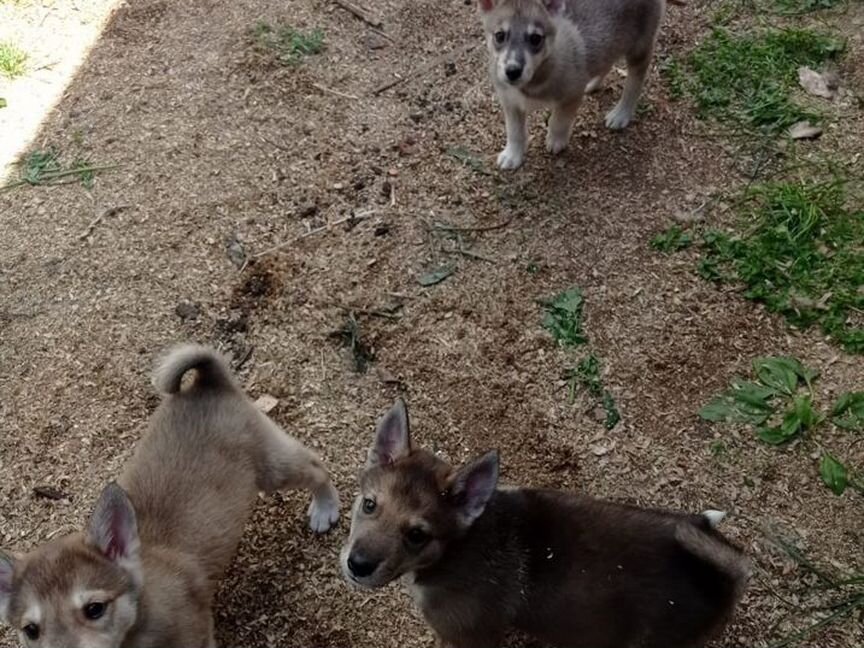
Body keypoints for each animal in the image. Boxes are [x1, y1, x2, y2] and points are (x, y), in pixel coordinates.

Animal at [0, 346, 340, 648]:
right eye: (31, 630)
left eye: (94, 609)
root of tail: (207, 381)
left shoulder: (199, 638)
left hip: (274, 468)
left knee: (317, 467)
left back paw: (325, 510)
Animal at [342, 400, 748, 648]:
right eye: (369, 505)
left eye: (417, 535)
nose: (356, 566)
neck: (456, 550)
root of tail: (726, 581)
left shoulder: (470, 637)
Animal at [480, 0, 676, 170]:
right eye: (499, 36)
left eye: (536, 38)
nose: (512, 71)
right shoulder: (510, 102)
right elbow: (514, 132)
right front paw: (512, 155)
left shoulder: (571, 96)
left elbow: (559, 121)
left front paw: (556, 141)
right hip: (609, 41)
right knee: (605, 62)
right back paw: (593, 84)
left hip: (640, 47)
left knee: (635, 82)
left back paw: (621, 113)